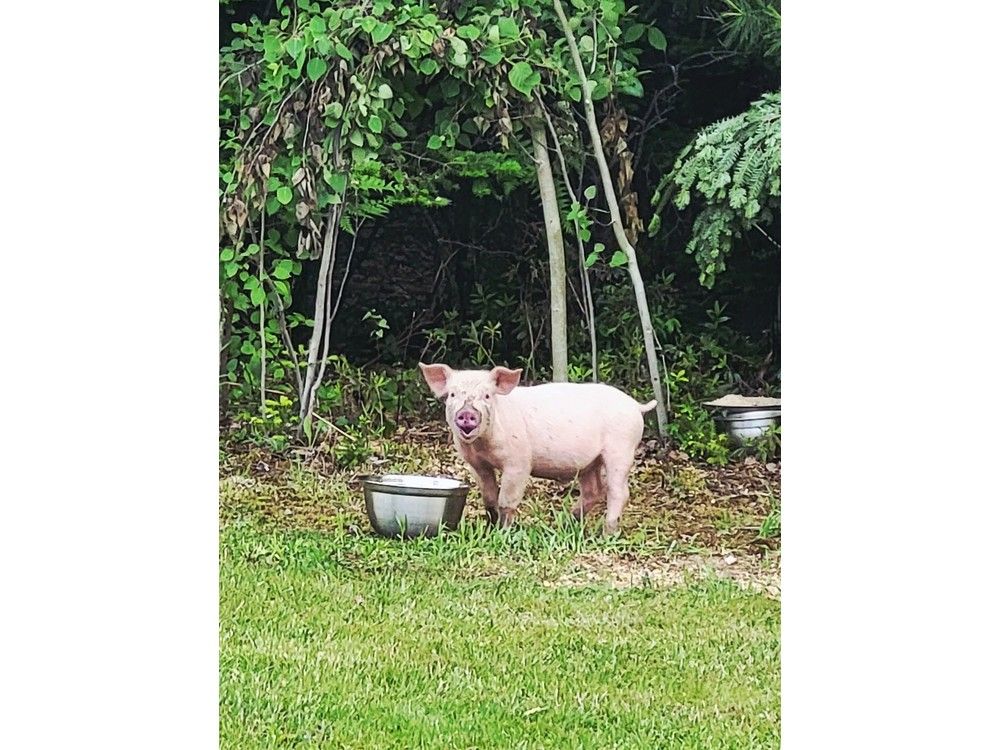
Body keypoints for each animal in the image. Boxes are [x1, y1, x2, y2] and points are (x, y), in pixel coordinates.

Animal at [418, 362, 657, 534]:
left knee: (618, 491)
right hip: (591, 462)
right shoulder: (476, 464)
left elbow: (506, 500)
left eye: (487, 395)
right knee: (593, 490)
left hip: (621, 448)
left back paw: (607, 533)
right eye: (452, 394)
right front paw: (490, 529)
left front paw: (502, 533)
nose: (467, 413)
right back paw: (566, 524)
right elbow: (489, 497)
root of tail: (636, 405)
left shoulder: (518, 462)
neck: (483, 446)